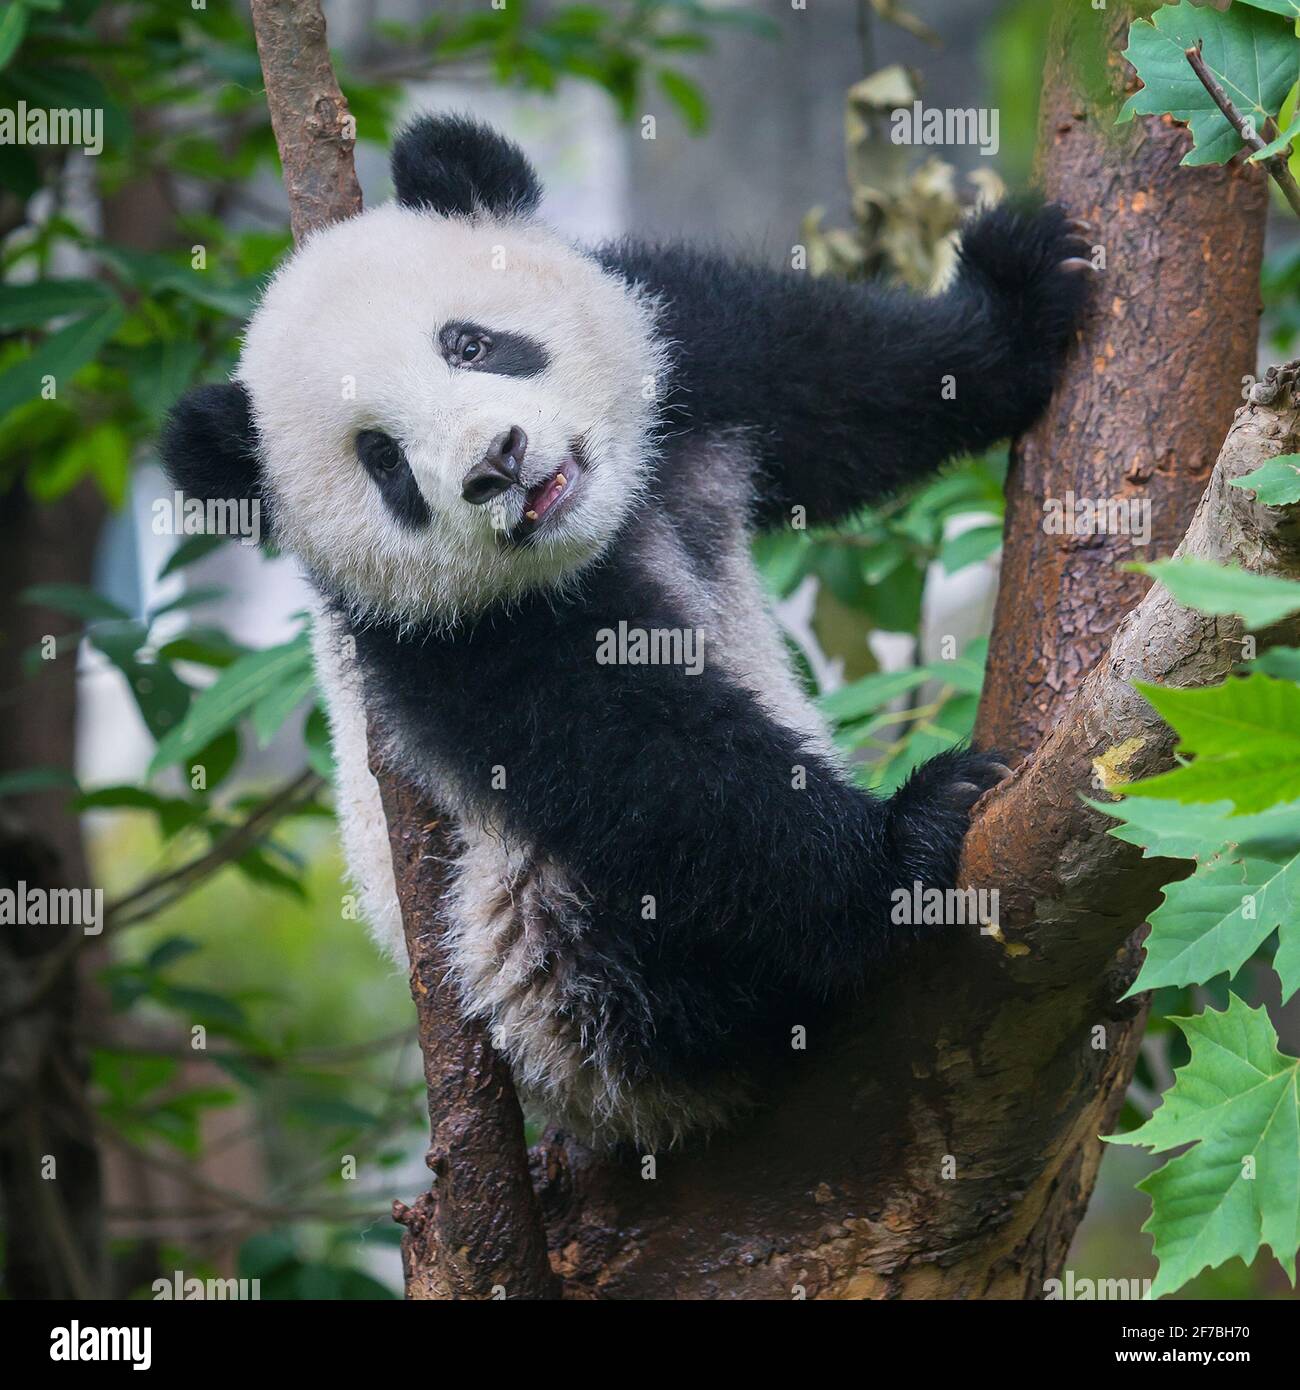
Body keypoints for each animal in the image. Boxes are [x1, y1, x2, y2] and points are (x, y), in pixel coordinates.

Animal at [163, 114, 1092, 1151]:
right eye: (383, 460)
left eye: (471, 343)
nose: (497, 465)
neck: (600, 532)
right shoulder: (440, 643)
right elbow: (644, 764)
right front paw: (908, 839)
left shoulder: (683, 343)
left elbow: (838, 379)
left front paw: (1018, 299)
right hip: (550, 973)